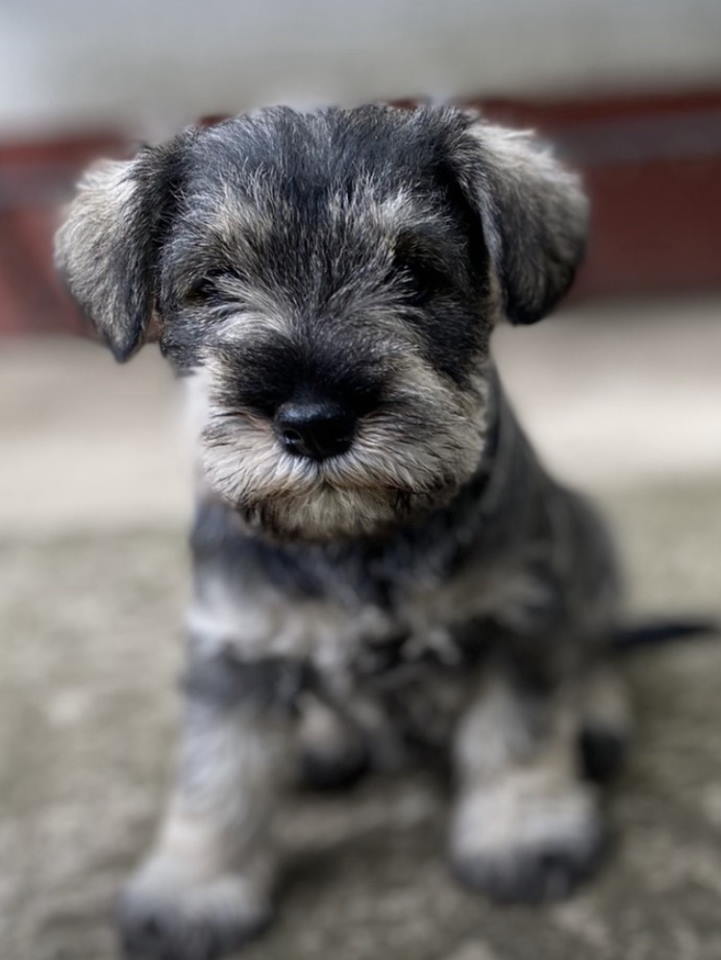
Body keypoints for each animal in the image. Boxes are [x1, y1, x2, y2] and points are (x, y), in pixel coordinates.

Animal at [56, 101, 628, 956]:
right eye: (209, 284)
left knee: (595, 643)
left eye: (418, 274)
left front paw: (522, 834)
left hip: (588, 542)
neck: (357, 536)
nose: (314, 421)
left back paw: (597, 716)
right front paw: (192, 888)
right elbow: (215, 775)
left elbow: (517, 730)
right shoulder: (231, 648)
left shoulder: (517, 615)